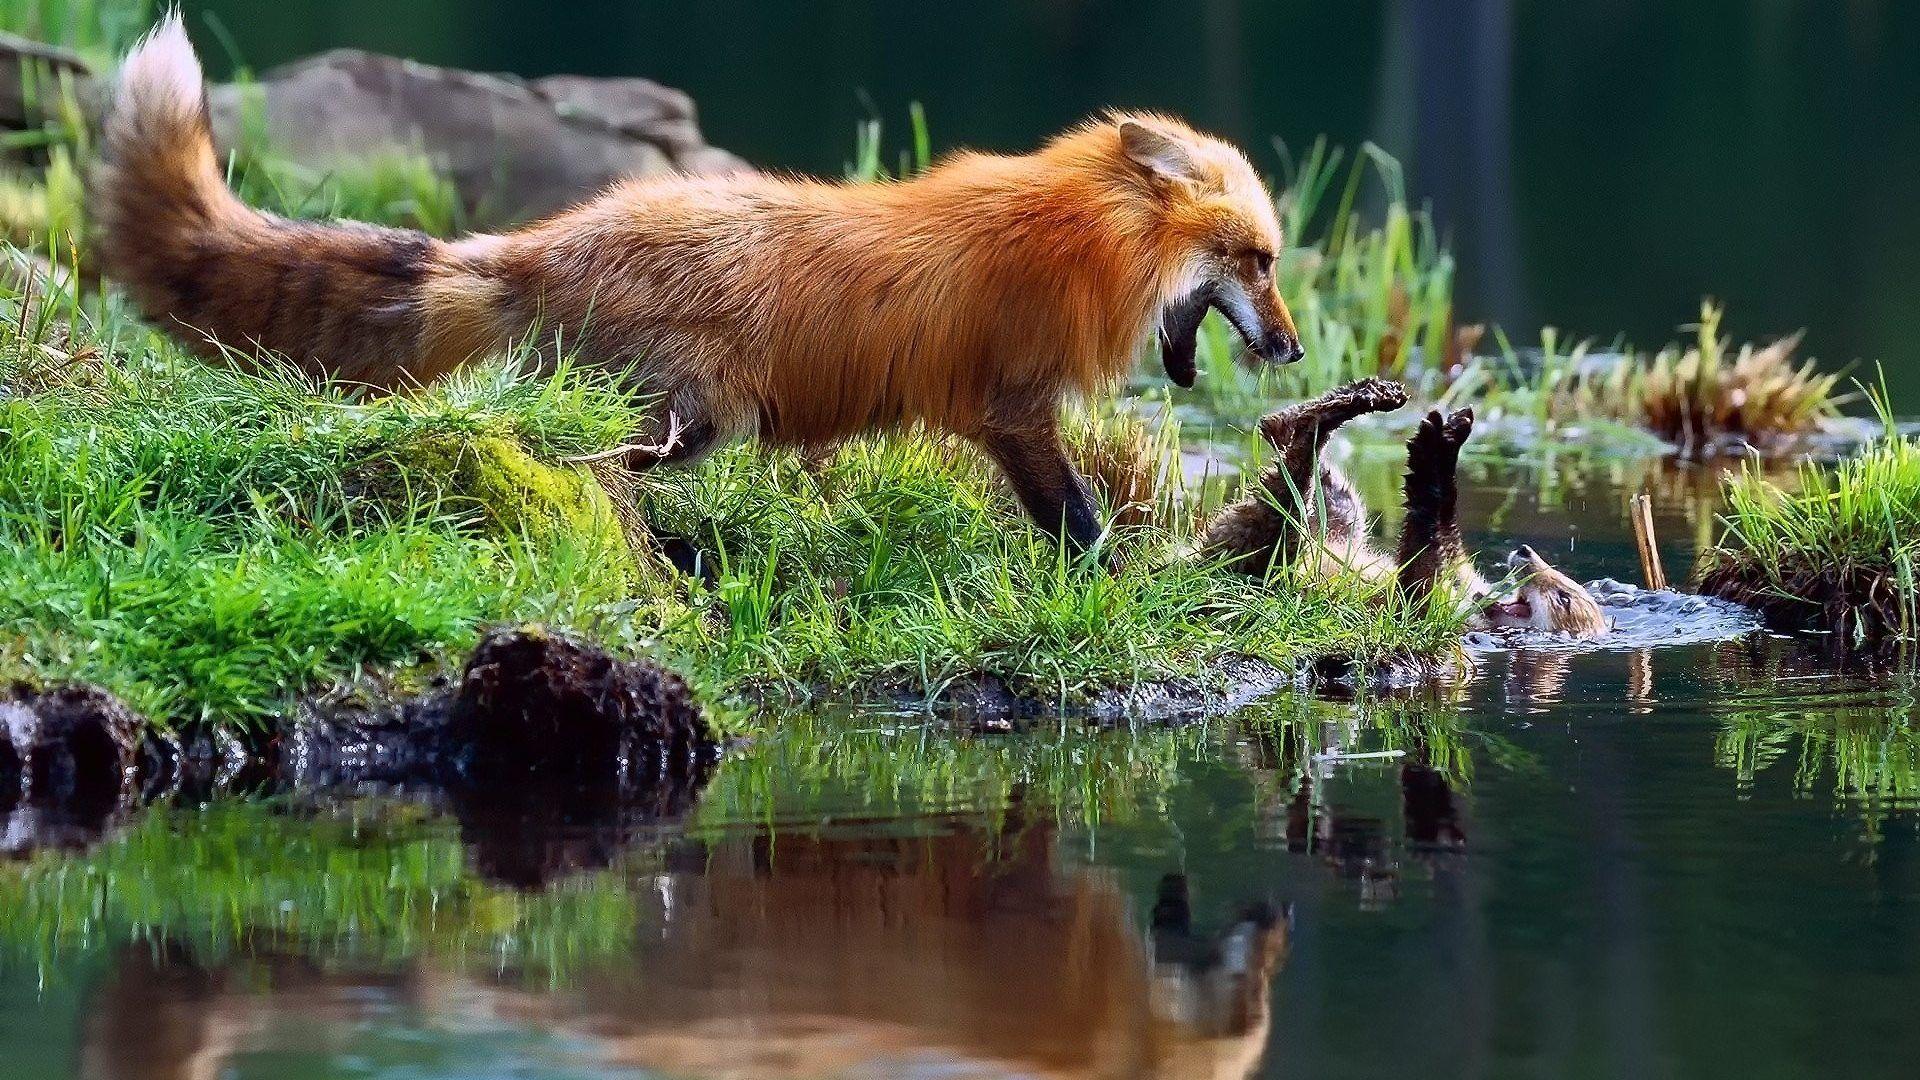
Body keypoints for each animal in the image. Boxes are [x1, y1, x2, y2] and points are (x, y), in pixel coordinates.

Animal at [93, 14, 1302, 552]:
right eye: (1258, 259)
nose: (1293, 350)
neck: (1084, 236)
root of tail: (541, 241)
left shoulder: (1007, 412)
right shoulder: (1012, 407)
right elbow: (1078, 518)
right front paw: (1116, 576)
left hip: (688, 420)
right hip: (687, 417)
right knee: (580, 456)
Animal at [1198, 378, 1609, 638]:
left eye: (1564, 596)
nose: (1525, 552)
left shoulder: (1424, 608)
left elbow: (1419, 564)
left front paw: (1433, 452)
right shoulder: (1457, 577)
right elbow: (1446, 542)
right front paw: (1447, 437)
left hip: (1260, 551)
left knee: (1281, 507)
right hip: (1332, 522)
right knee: (1326, 499)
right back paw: (1324, 414)